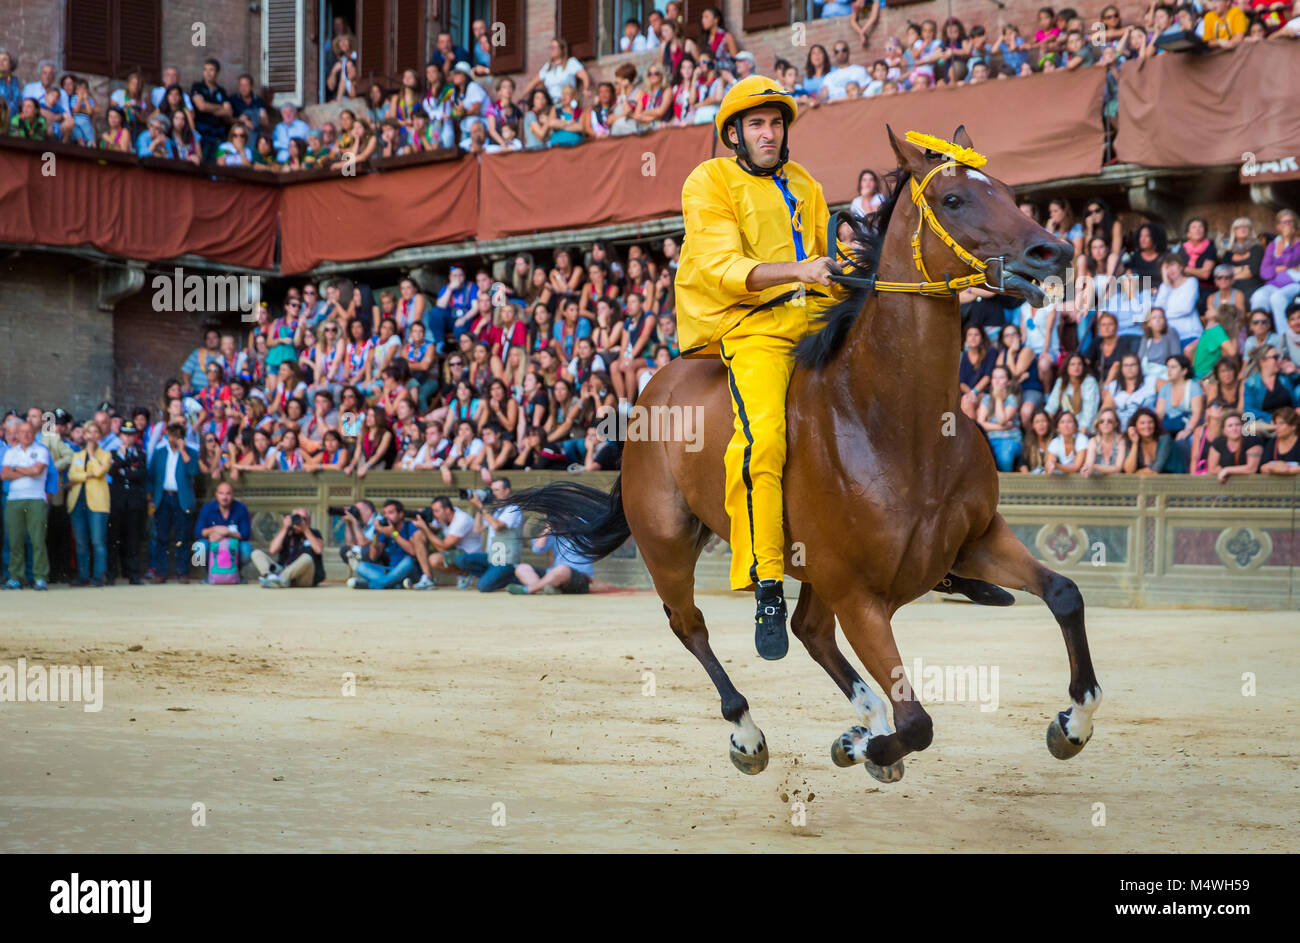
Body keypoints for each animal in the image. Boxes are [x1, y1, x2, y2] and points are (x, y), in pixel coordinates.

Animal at [509, 127, 1101, 782]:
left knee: (810, 630)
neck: (896, 425)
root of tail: (652, 389)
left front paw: (1072, 725)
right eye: (953, 199)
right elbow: (917, 723)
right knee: (696, 625)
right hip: (667, 543)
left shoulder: (976, 540)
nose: (1054, 251)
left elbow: (1065, 594)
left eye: (1007, 191)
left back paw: (863, 717)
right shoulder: (858, 596)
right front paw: (866, 747)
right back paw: (751, 732)